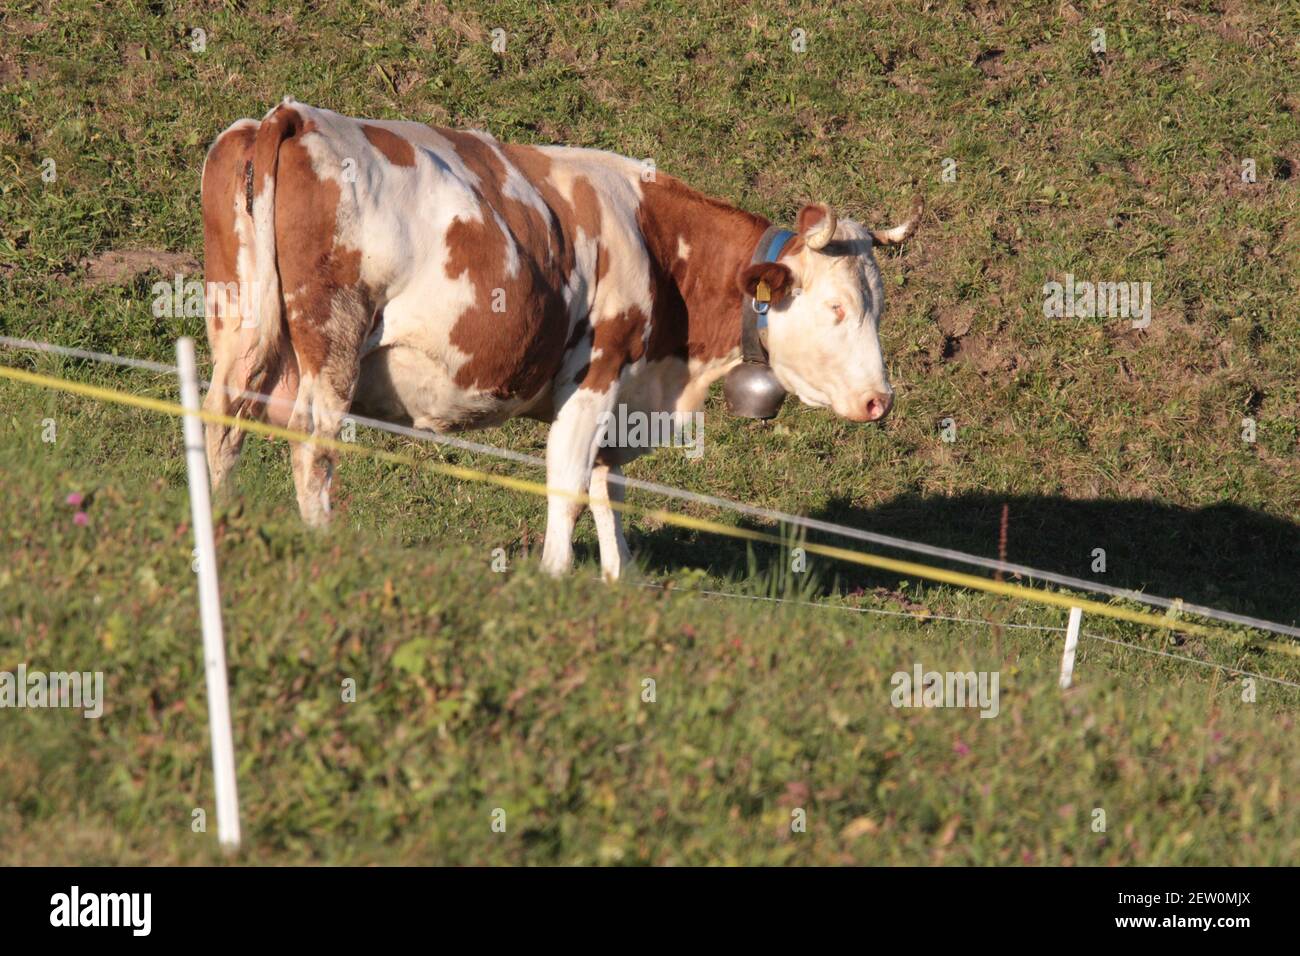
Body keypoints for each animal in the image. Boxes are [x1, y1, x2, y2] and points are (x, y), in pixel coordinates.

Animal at [200, 98, 920, 580]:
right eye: (835, 307)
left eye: (878, 306)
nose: (879, 400)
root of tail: (290, 116)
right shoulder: (598, 372)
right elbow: (569, 480)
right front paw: (554, 576)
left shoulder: (625, 397)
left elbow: (608, 488)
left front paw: (618, 576)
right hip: (333, 340)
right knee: (311, 441)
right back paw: (320, 539)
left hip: (239, 328)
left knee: (222, 420)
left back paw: (224, 518)